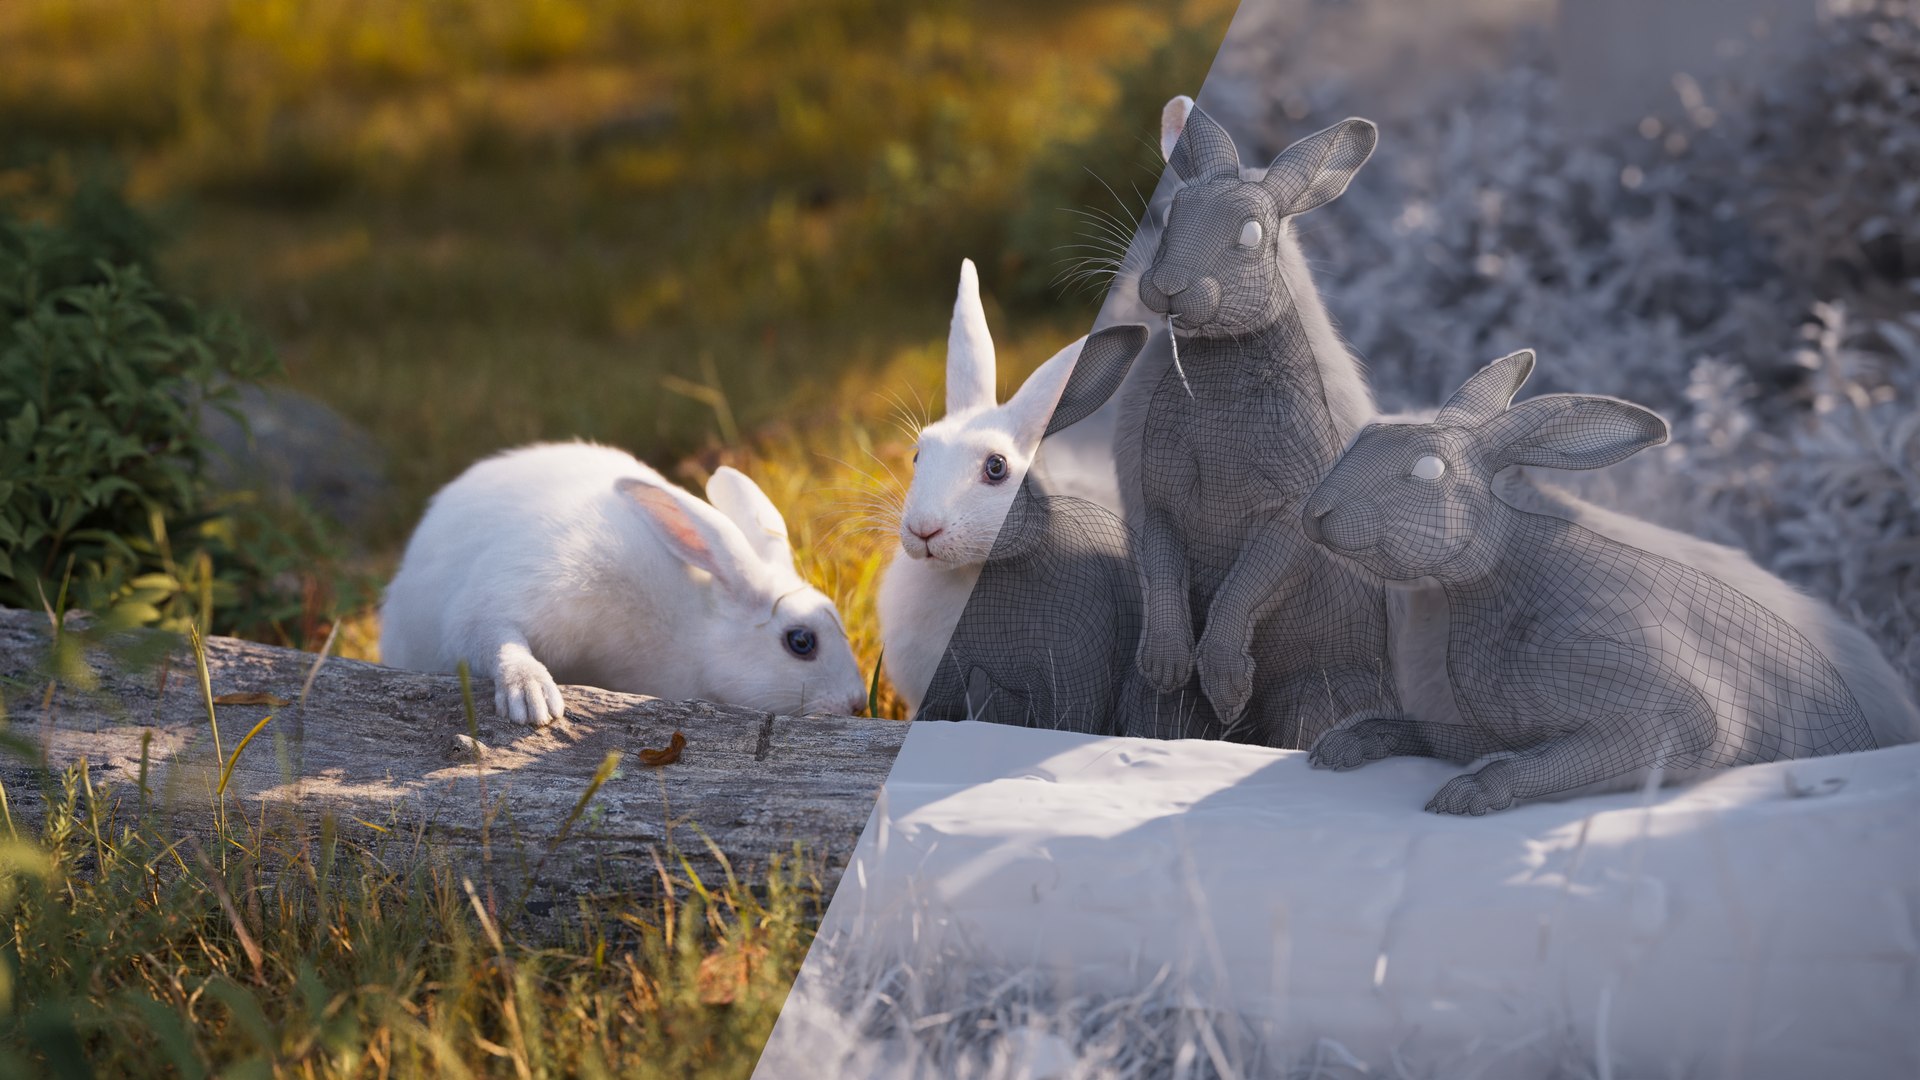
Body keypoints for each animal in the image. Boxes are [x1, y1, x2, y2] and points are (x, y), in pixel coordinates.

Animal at [380, 442, 867, 725]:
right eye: (801, 642)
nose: (857, 704)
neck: (688, 631)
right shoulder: (509, 592)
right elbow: (495, 638)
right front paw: (532, 697)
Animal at [1120, 94, 1399, 746]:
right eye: (1171, 213)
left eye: (1251, 235)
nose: (1167, 288)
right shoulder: (1156, 499)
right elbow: (1164, 567)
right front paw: (1167, 665)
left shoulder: (1292, 511)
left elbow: (1246, 586)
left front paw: (1225, 685)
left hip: (1325, 691)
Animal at [1300, 349, 1916, 814]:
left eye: (1428, 469)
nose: (1316, 513)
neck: (1498, 575)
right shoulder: (1501, 729)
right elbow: (1427, 732)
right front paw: (1344, 746)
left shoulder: (1664, 712)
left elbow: (1549, 765)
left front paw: (1465, 796)